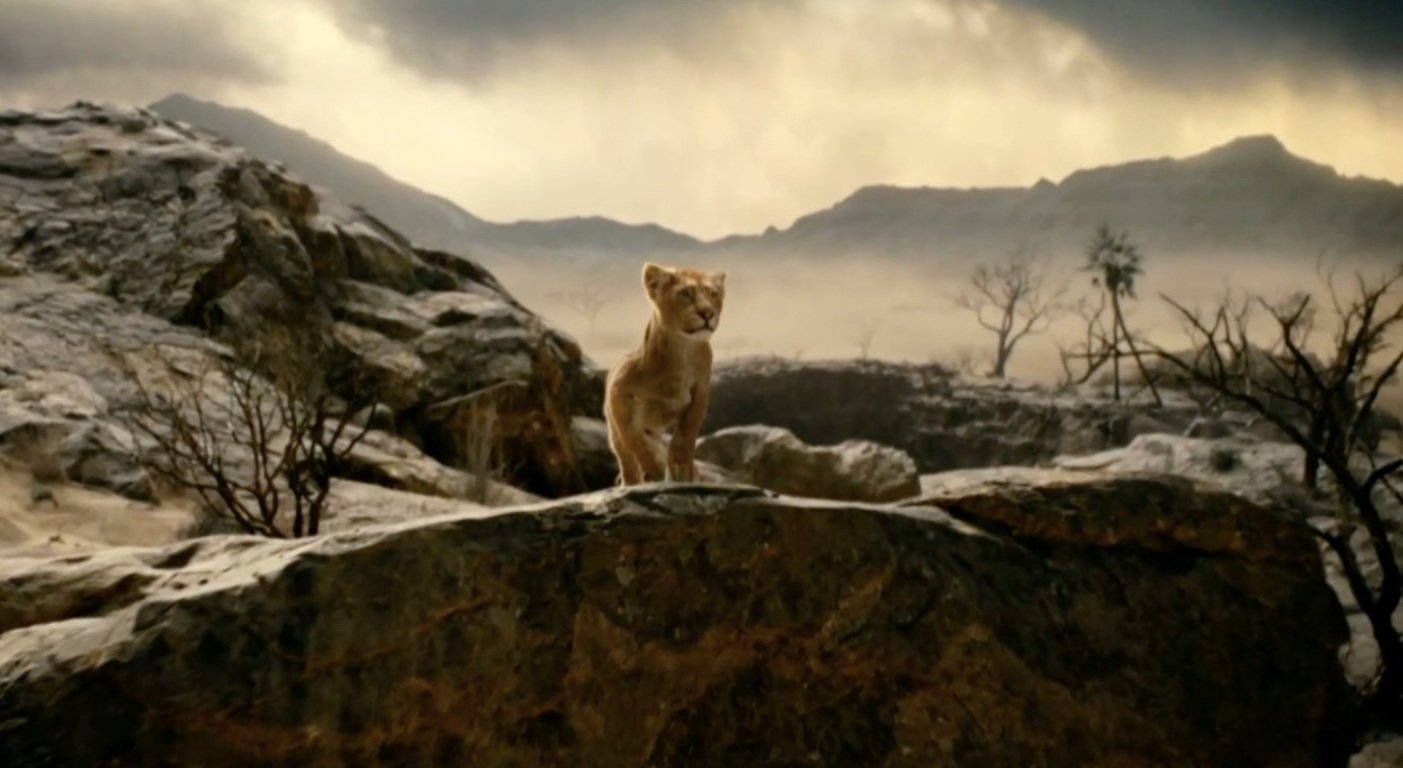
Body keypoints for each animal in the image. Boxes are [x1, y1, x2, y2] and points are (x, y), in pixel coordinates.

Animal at [605, 262, 726, 484]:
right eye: (685, 293)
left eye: (713, 294)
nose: (708, 313)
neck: (681, 351)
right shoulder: (617, 390)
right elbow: (633, 438)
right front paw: (653, 470)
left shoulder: (701, 390)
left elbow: (687, 432)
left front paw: (683, 468)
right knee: (625, 456)